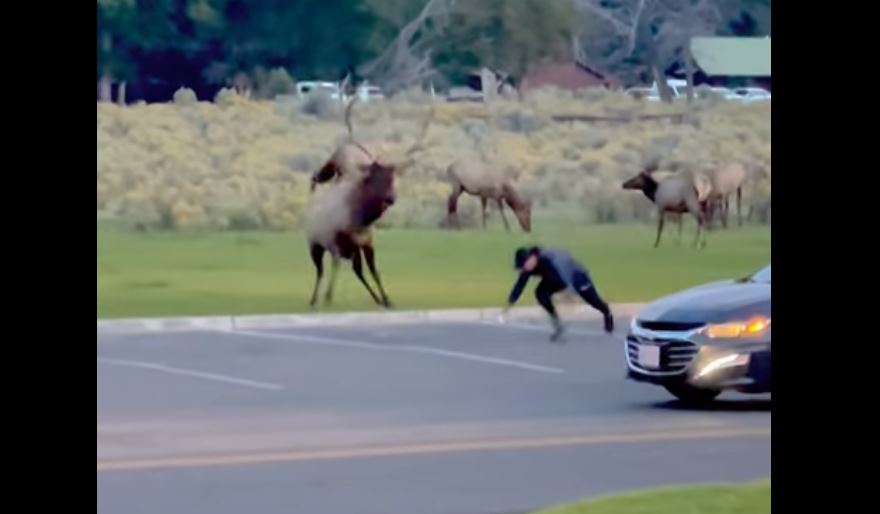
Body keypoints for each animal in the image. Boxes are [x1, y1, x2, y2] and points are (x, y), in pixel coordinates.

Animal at [305, 104, 434, 308]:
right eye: (374, 176)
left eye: (392, 177)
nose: (391, 198)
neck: (358, 221)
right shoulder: (332, 241)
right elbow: (335, 266)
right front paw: (328, 297)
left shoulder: (367, 244)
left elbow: (375, 271)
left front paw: (387, 299)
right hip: (314, 245)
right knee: (320, 271)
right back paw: (314, 299)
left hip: (351, 251)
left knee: (357, 270)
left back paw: (376, 299)